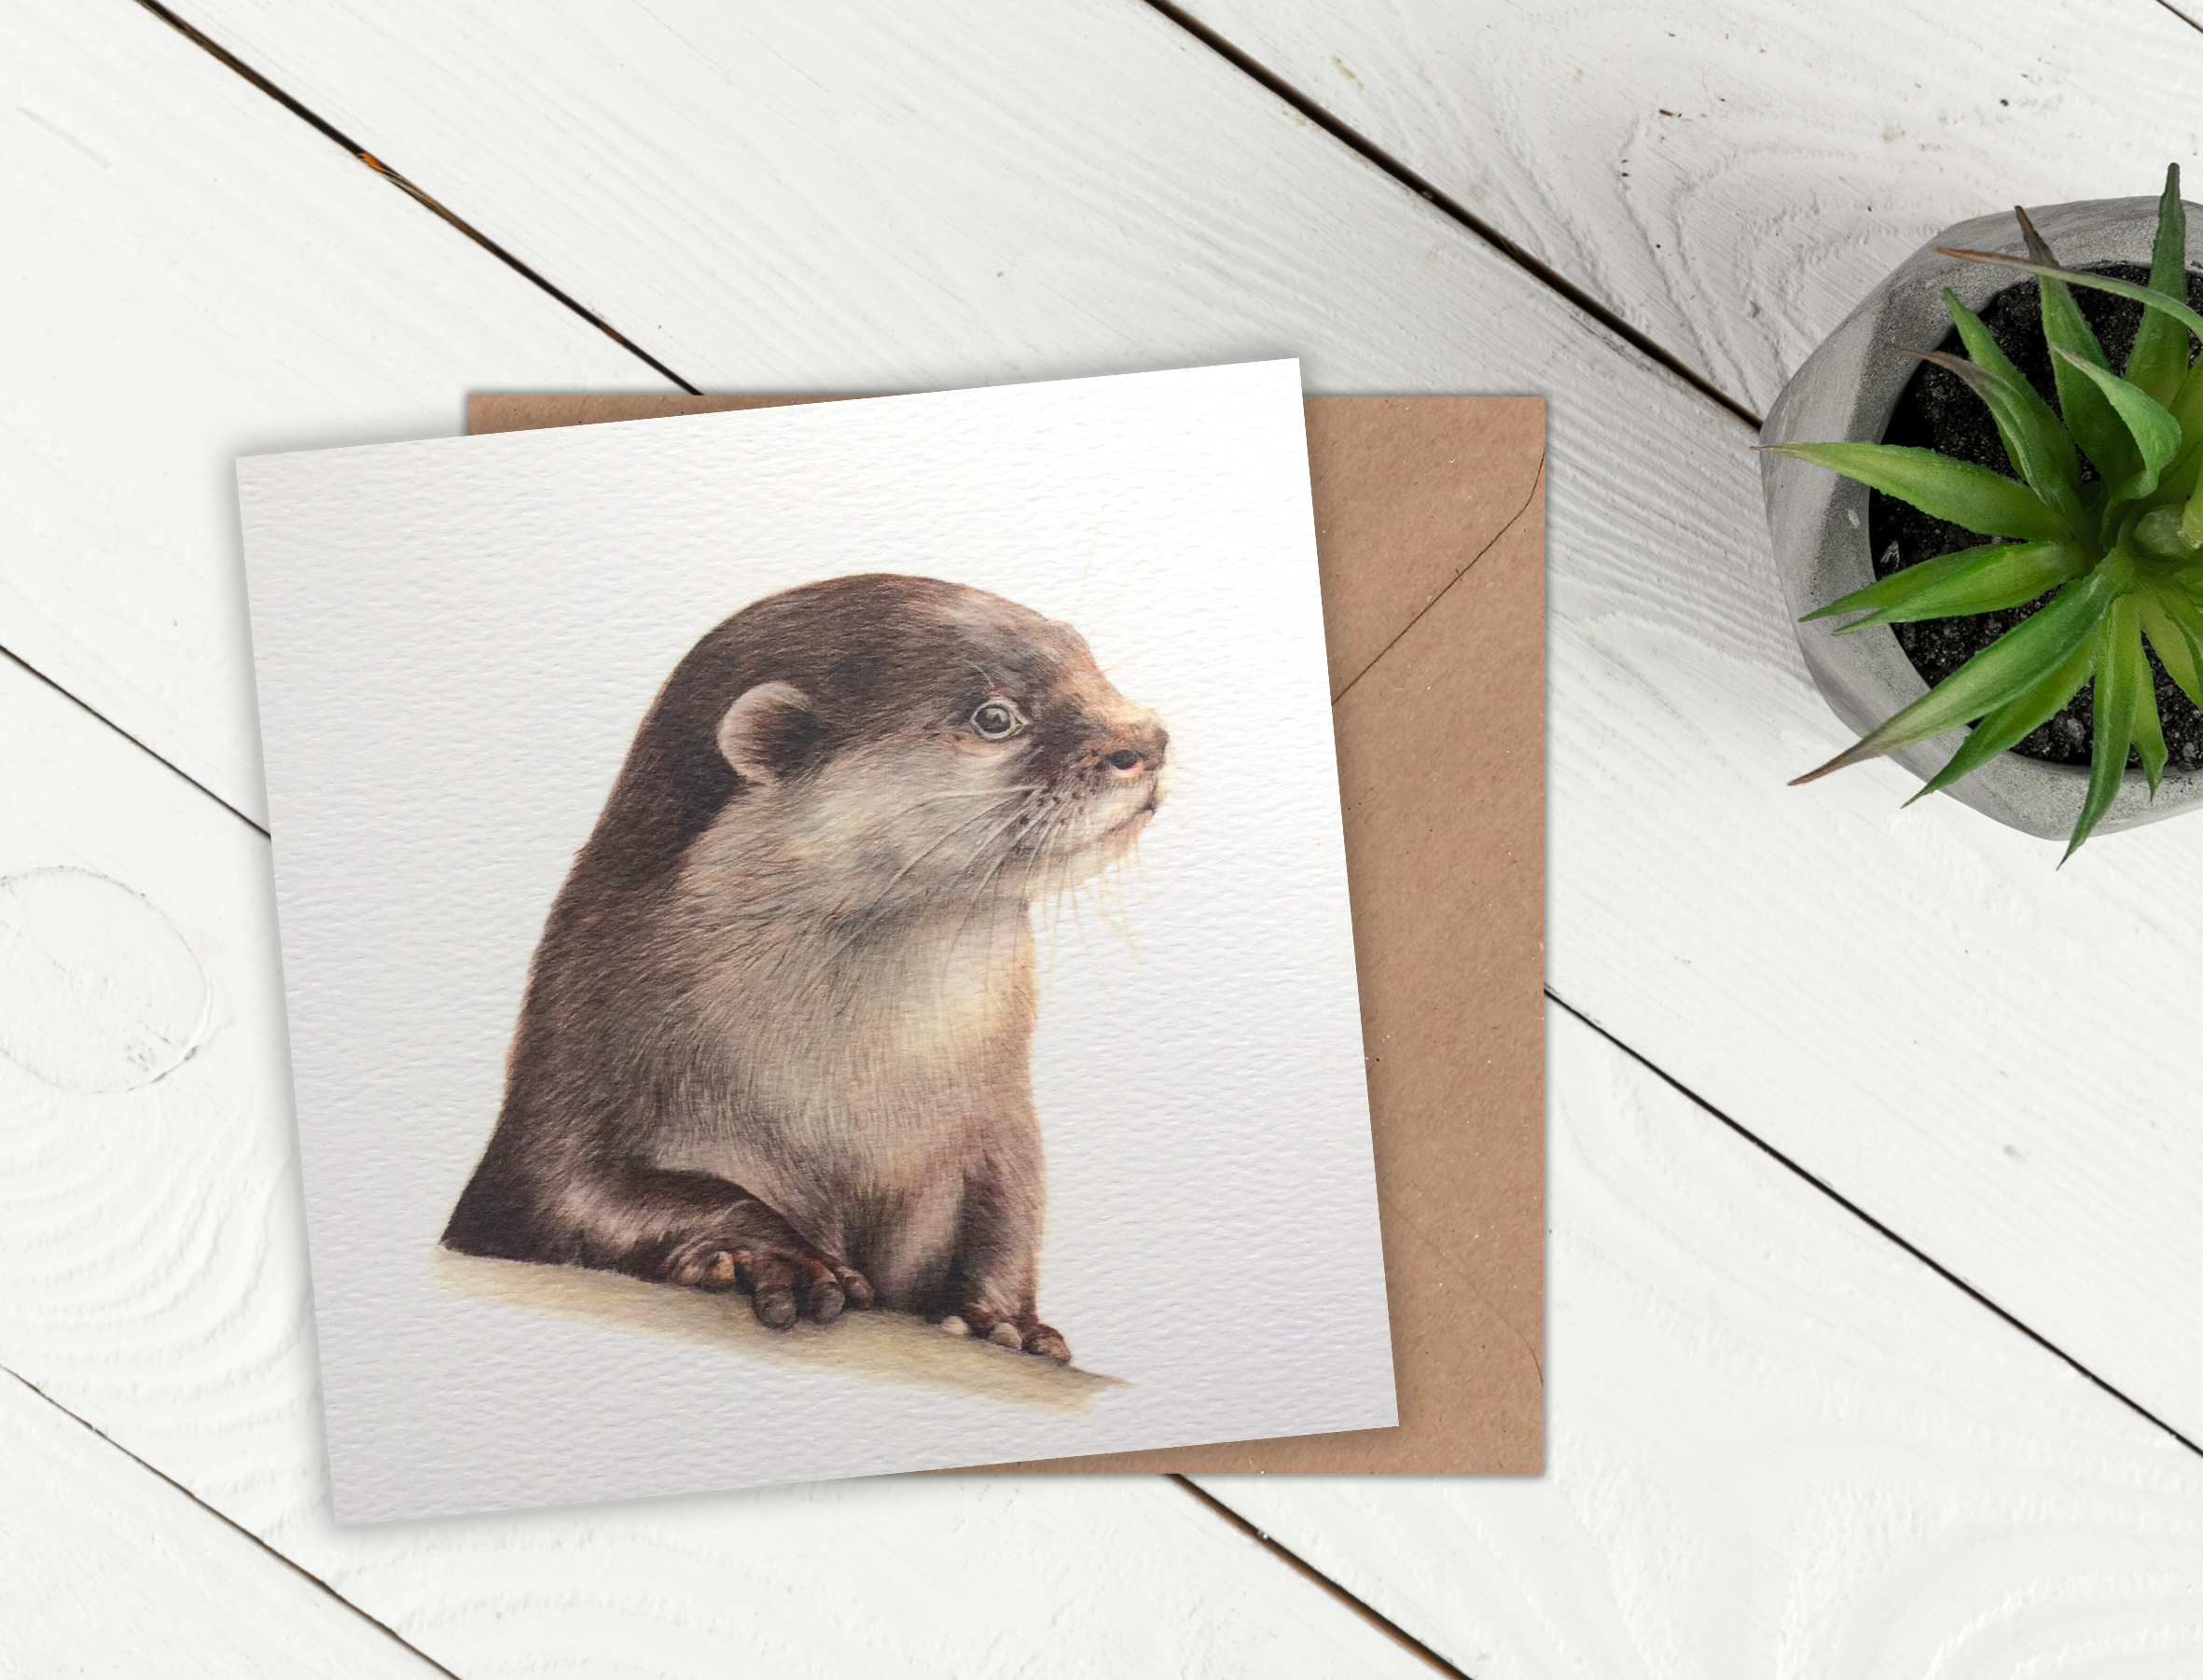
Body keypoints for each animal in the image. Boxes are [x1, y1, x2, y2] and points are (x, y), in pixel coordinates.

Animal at [441, 573, 1166, 1363]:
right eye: (996, 716)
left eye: (1092, 666)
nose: (1147, 738)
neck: (853, 1097)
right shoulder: (566, 1097)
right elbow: (592, 1195)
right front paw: (781, 1257)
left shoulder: (1001, 1122)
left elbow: (1012, 1211)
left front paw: (1006, 1319)